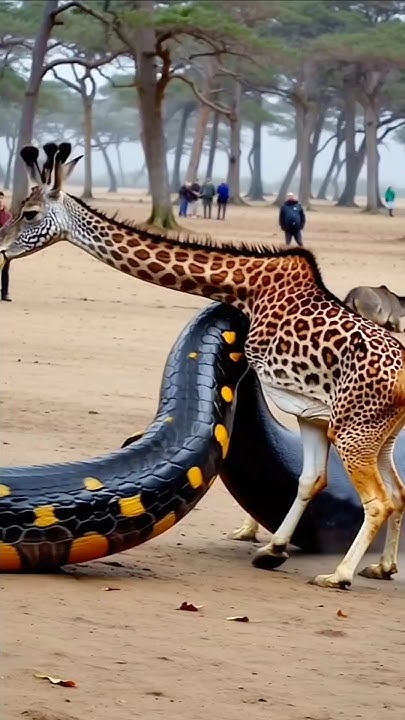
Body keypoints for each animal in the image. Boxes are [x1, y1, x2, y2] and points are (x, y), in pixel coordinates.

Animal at [1, 142, 405, 590]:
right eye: (16, 209)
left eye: (30, 213)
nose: (3, 247)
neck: (247, 283)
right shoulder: (308, 409)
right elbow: (310, 480)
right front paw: (272, 549)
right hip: (378, 434)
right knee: (398, 494)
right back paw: (382, 567)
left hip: (354, 432)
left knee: (379, 501)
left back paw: (339, 575)